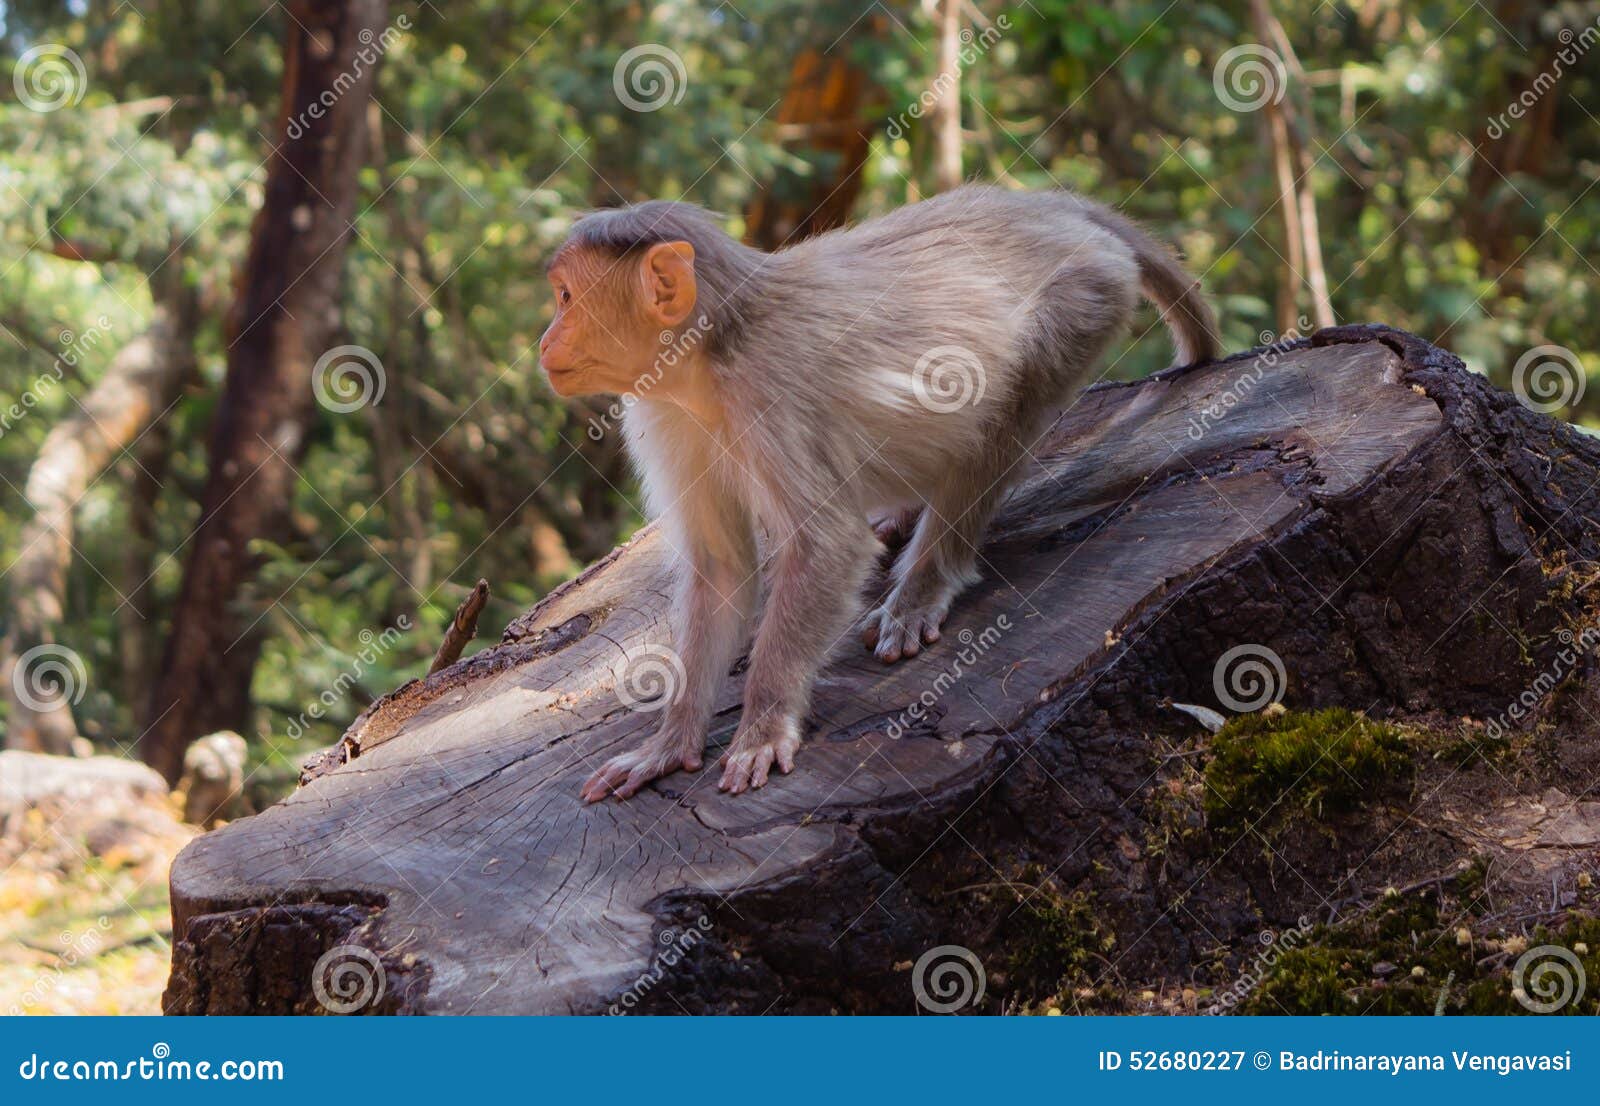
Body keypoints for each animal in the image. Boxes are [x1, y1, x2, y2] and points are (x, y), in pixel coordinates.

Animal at [538, 185, 1219, 801]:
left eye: (567, 297)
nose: (544, 341)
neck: (711, 352)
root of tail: (1044, 205)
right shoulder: (669, 413)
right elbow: (722, 568)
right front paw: (671, 741)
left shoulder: (770, 387)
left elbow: (828, 547)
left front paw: (764, 724)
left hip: (1083, 295)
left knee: (1003, 411)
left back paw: (923, 585)